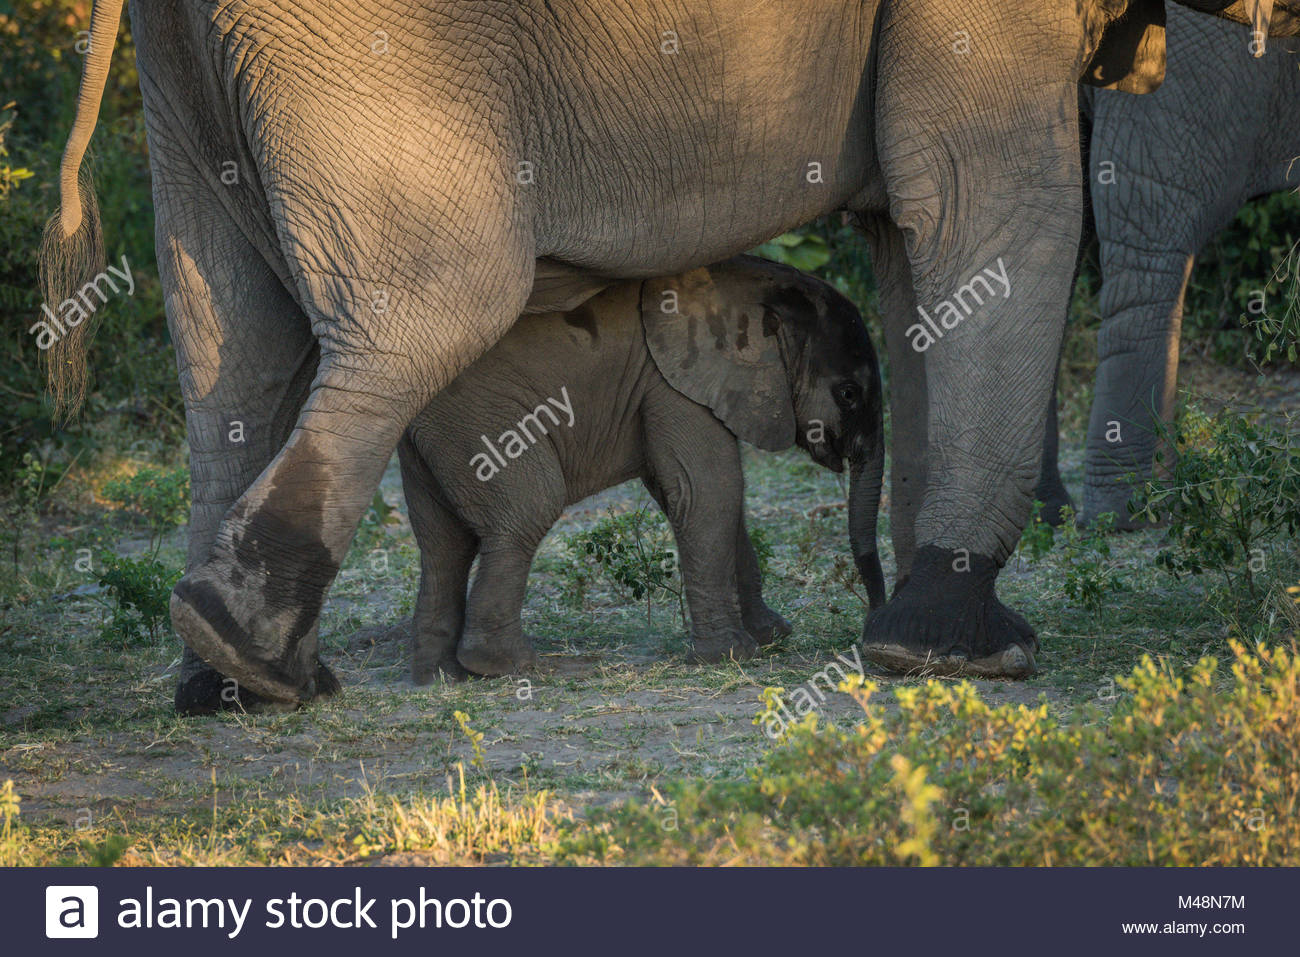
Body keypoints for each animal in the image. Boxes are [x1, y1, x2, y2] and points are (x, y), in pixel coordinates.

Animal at [397, 255, 887, 681]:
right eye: (848, 394)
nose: (869, 631)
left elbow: (712, 497)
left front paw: (772, 637)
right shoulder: (674, 381)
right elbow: (709, 489)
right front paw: (732, 655)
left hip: (437, 441)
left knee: (443, 544)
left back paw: (438, 675)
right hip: (484, 425)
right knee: (528, 509)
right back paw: (509, 665)